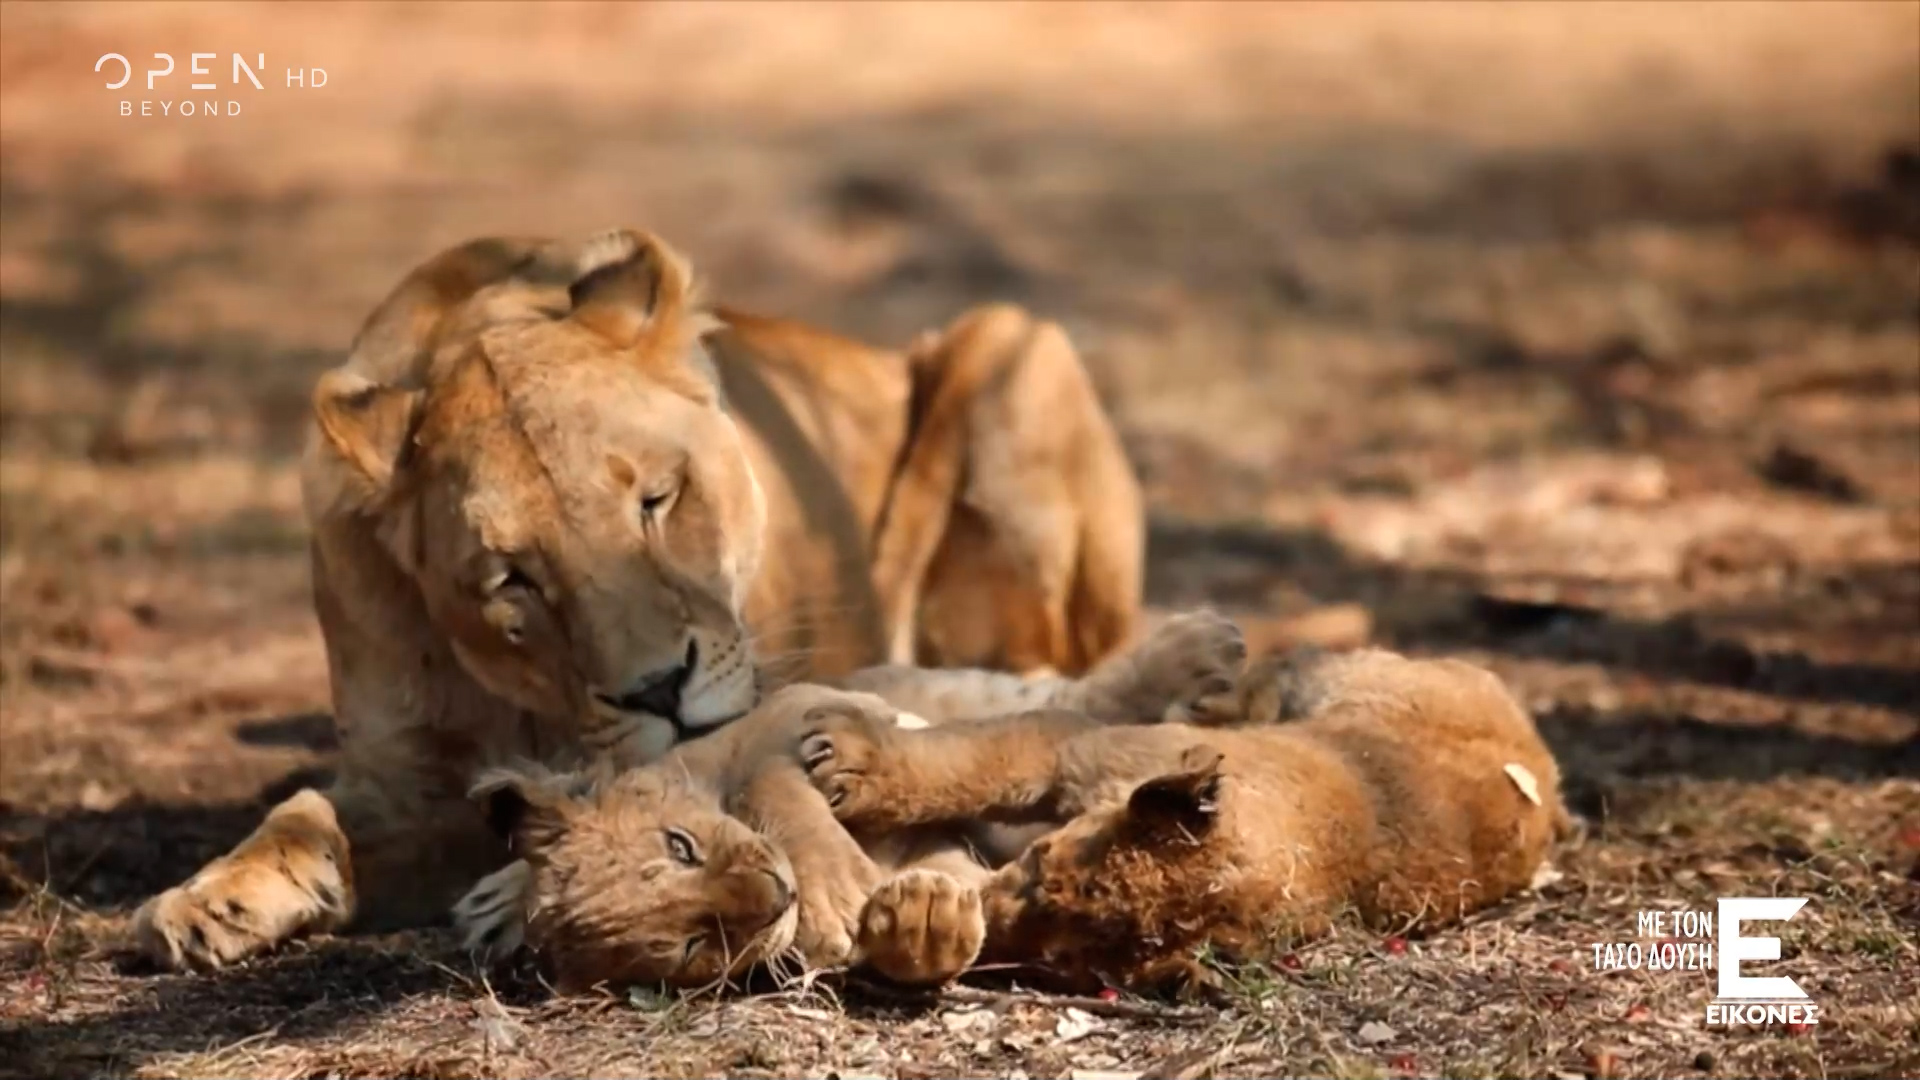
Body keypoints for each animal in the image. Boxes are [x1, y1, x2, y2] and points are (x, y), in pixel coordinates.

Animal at [132, 227, 1144, 971]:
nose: (660, 689)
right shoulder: (403, 775)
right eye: (512, 578)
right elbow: (305, 815)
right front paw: (211, 898)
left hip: (1014, 345)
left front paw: (512, 895)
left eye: (656, 499)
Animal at [449, 611, 1247, 990]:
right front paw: (919, 921)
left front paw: (835, 899)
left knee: (1058, 702)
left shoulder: (791, 713)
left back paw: (1208, 654)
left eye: (681, 846)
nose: (777, 899)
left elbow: (775, 782)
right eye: (690, 947)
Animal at [799, 646, 1572, 992]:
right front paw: (853, 762)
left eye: (1066, 964)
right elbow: (965, 759)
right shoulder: (1071, 748)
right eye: (1038, 866)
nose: (991, 930)